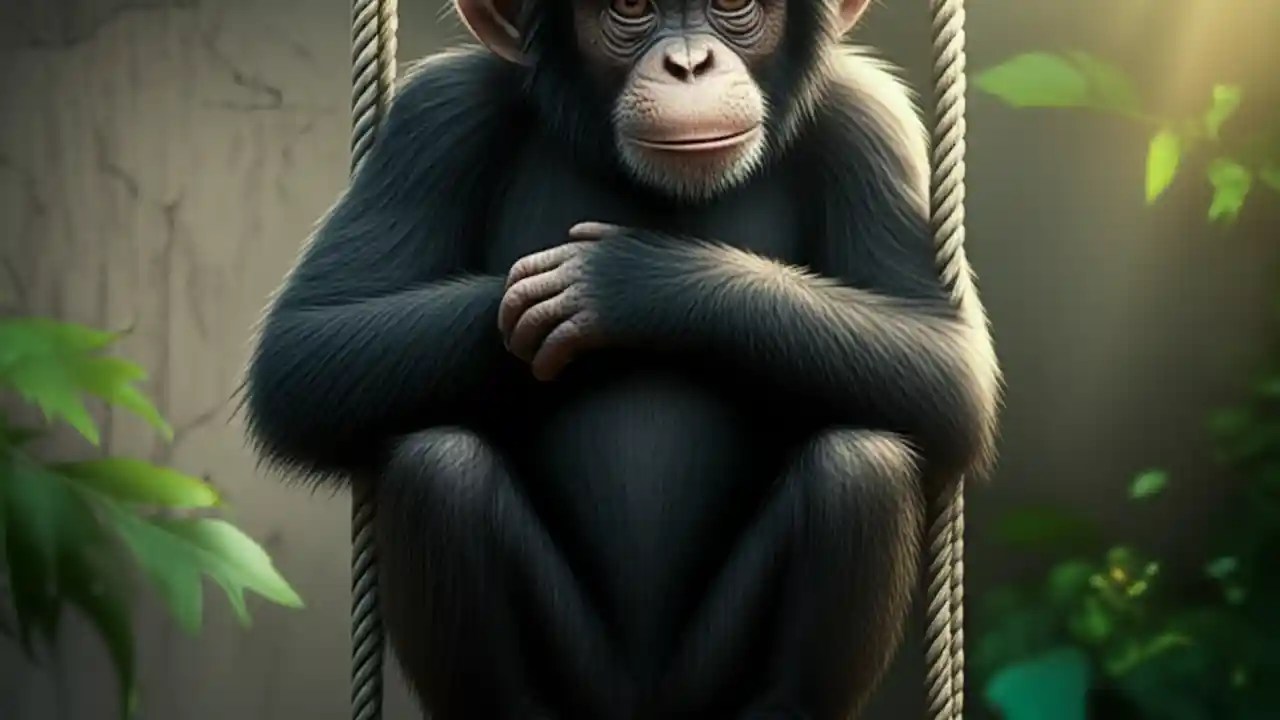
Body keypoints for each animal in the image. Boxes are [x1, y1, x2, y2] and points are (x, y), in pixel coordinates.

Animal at [243, 0, 1001, 718]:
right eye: (631, 9)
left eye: (733, 4)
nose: (689, 64)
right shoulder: (434, 117)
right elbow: (305, 350)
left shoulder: (867, 123)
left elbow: (944, 361)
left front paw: (627, 279)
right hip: (583, 670)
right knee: (441, 467)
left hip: (708, 672)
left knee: (858, 465)